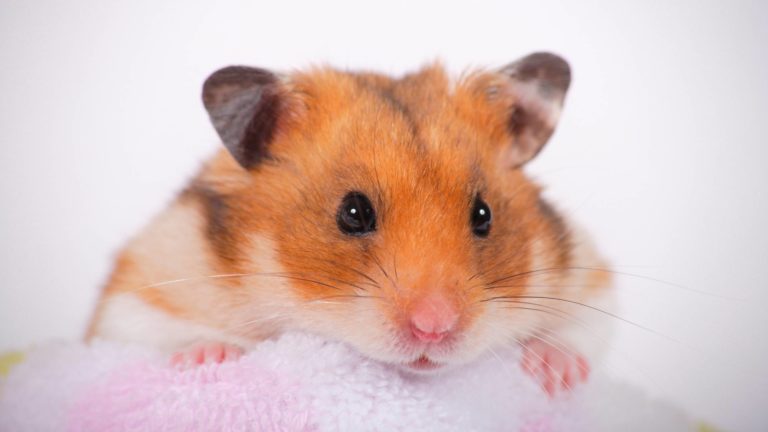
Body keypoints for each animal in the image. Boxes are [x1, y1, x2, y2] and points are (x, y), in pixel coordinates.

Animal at [86, 52, 613, 395]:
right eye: (353, 213)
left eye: (483, 215)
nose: (434, 330)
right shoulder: (140, 284)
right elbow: (147, 327)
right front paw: (210, 358)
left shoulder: (587, 272)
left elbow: (586, 322)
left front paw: (555, 372)